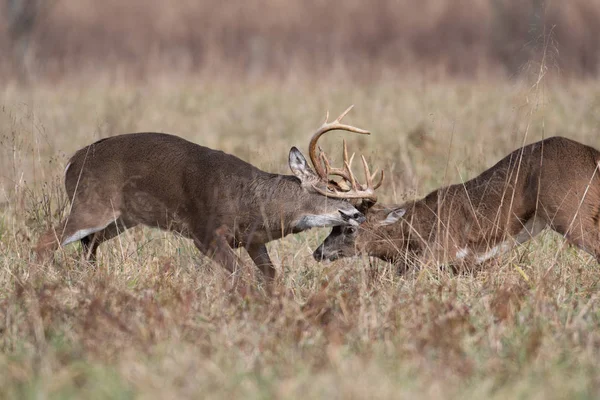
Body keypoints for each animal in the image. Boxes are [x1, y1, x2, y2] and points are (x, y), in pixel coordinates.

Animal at [36, 104, 380, 282]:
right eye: (329, 189)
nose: (357, 213)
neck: (255, 202)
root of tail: (72, 162)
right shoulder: (205, 233)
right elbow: (242, 276)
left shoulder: (252, 240)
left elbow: (270, 276)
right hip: (91, 203)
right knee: (46, 240)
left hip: (122, 218)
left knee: (88, 245)